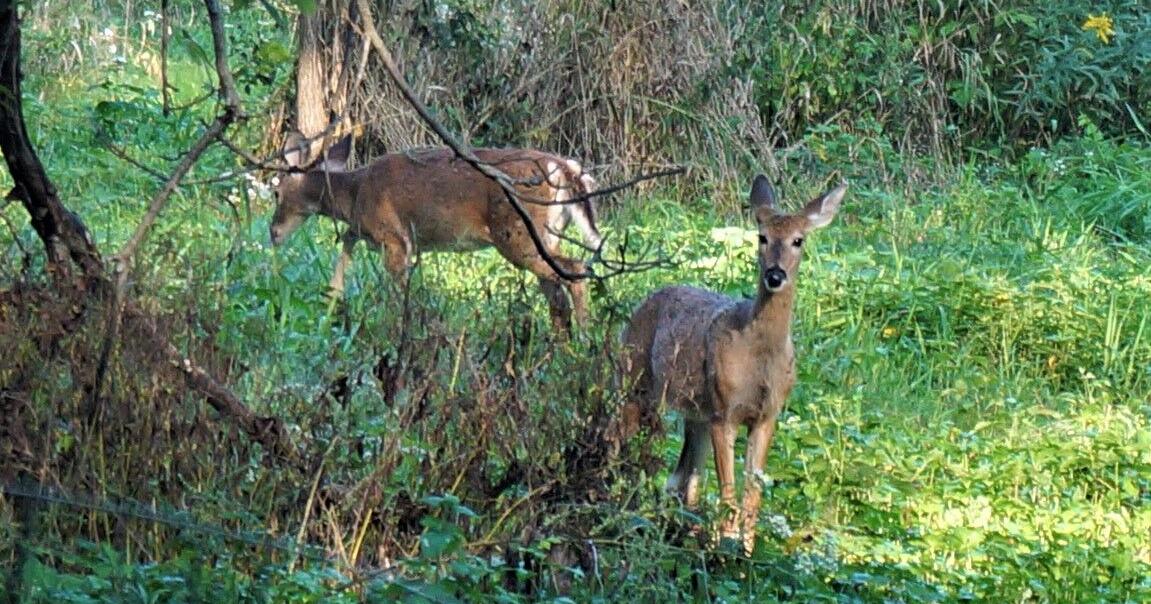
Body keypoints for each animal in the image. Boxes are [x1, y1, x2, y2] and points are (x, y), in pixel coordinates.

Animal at [268, 133, 602, 332]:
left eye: (276, 192)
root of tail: (565, 168)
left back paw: (586, 339)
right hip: (546, 235)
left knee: (576, 270)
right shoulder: (366, 233)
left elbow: (400, 295)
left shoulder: (394, 238)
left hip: (517, 235)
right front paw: (328, 310)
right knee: (557, 294)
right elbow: (342, 263)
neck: (355, 194)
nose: (273, 233)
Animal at [620, 175, 845, 553]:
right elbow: (728, 495)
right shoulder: (723, 412)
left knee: (683, 480)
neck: (759, 361)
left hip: (693, 412)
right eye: (762, 236)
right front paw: (726, 549)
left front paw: (746, 552)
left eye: (798, 240)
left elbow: (752, 496)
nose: (775, 275)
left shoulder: (767, 416)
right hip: (635, 383)